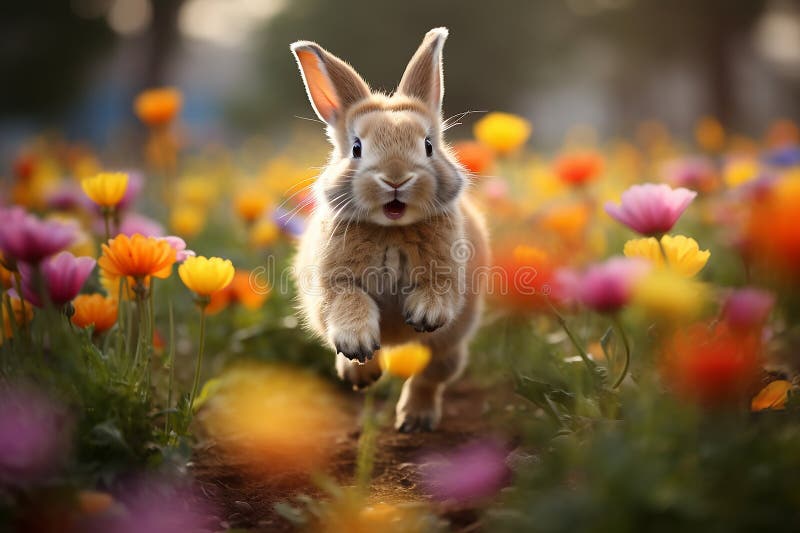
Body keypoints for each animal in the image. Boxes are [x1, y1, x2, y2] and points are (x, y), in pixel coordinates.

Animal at [290, 27, 489, 432]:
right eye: (356, 148)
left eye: (428, 146)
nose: (396, 178)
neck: (391, 230)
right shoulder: (334, 285)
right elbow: (350, 302)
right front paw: (357, 344)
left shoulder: (448, 274)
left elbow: (437, 290)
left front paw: (423, 317)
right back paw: (361, 375)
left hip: (450, 350)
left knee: (429, 377)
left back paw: (414, 420)